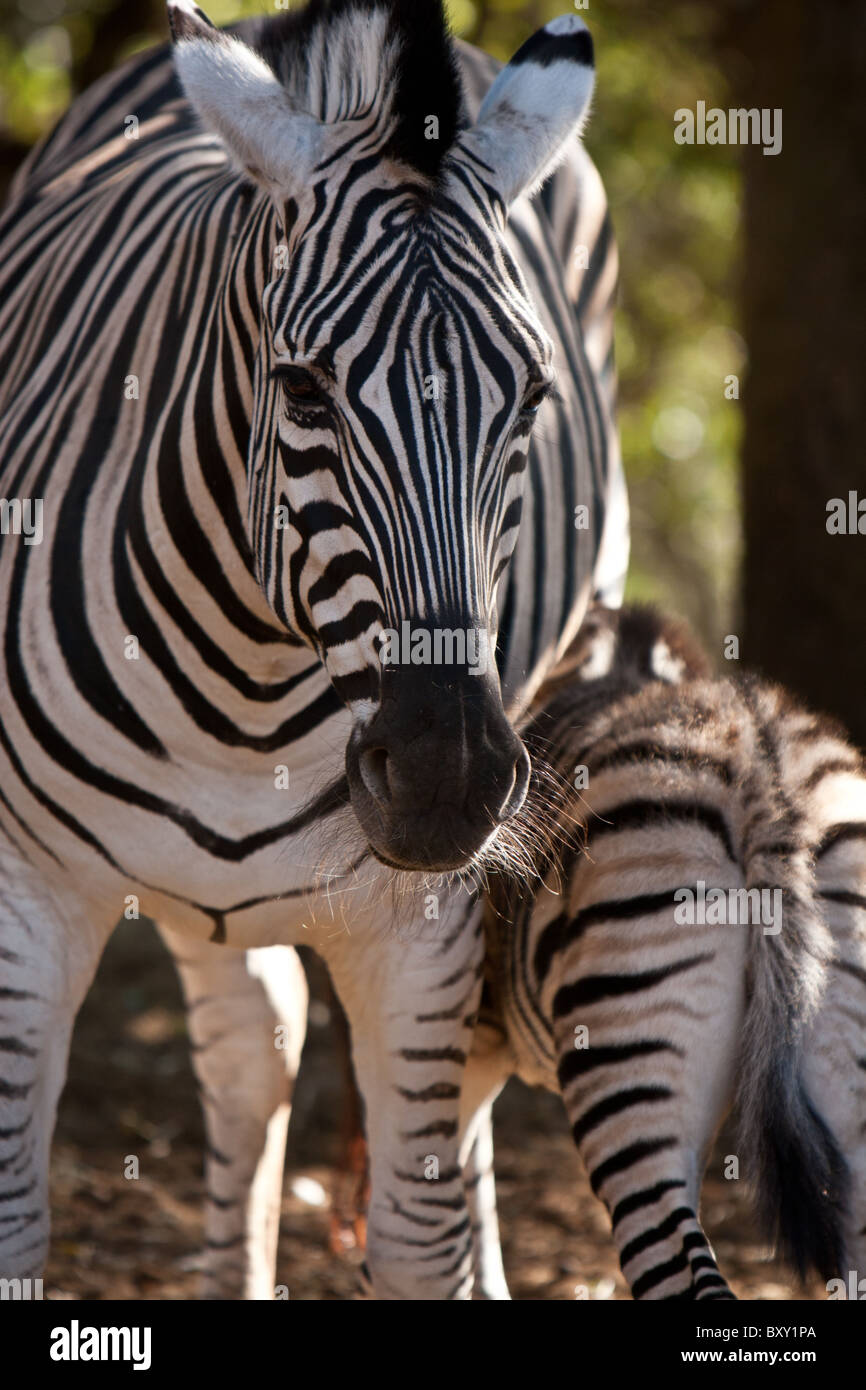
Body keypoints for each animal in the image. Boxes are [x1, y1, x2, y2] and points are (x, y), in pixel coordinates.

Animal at [0, 1, 627, 1299]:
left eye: (529, 402)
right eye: (300, 388)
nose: (445, 782)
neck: (246, 687)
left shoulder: (421, 931)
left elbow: (420, 1241)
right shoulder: (27, 894)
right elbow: (19, 1222)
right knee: (254, 1042)